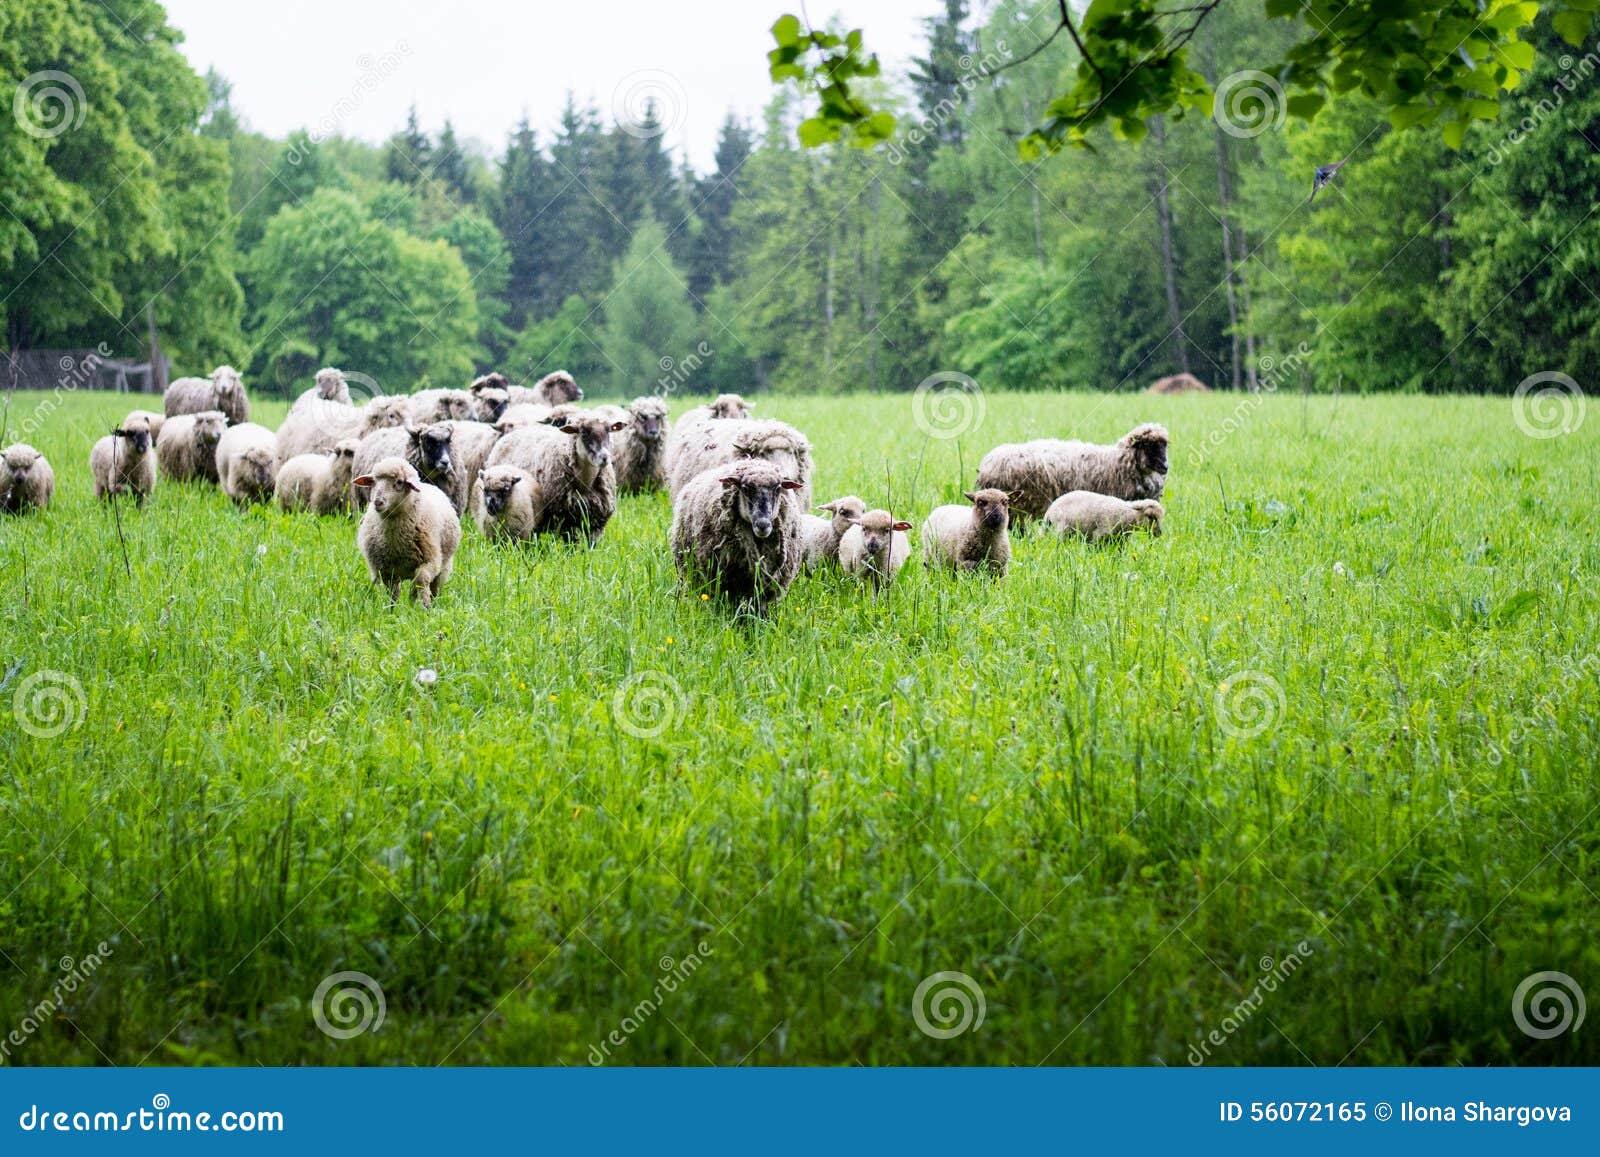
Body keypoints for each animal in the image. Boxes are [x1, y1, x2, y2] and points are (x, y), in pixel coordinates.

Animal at [352, 457, 461, 607]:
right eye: (373, 481)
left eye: (399, 482)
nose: (378, 502)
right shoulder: (385, 570)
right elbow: (393, 592)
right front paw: (392, 609)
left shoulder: (431, 561)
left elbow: (421, 582)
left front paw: (426, 607)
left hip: (444, 566)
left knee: (431, 588)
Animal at [485, 411, 625, 544]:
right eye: (584, 432)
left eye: (609, 431)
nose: (604, 458)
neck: (586, 484)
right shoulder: (566, 521)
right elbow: (571, 546)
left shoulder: (597, 523)